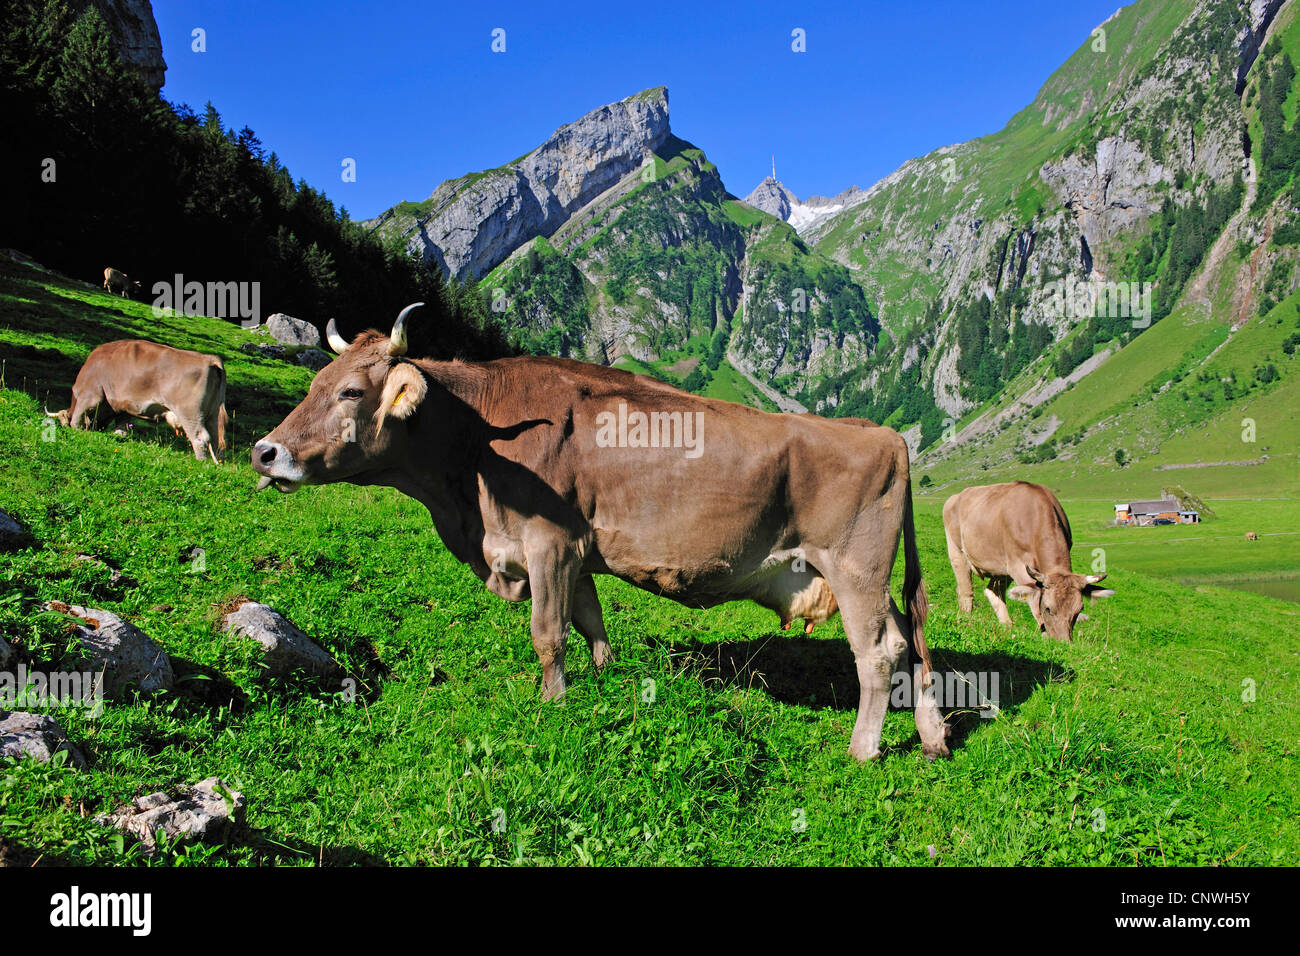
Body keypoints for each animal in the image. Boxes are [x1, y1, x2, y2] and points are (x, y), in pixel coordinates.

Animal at [47, 340, 228, 462]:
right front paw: (119, 435)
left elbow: (77, 418)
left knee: (200, 438)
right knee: (216, 440)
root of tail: (207, 358)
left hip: (189, 413)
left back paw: (200, 461)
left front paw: (76, 429)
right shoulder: (123, 406)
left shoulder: (90, 395)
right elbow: (122, 425)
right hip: (211, 415)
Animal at [251, 304, 951, 762]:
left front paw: (552, 704)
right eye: (314, 384)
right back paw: (933, 735)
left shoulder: (548, 543)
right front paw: (606, 681)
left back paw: (864, 749)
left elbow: (548, 633)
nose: (264, 452)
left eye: (349, 392)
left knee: (878, 651)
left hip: (855, 568)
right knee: (909, 640)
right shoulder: (577, 553)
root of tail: (881, 433)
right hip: (865, 576)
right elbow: (591, 624)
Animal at [942, 480, 1115, 641]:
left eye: (1079, 610)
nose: (1063, 643)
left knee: (993, 591)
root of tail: (955, 497)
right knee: (965, 591)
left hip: (1001, 568)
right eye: (1048, 608)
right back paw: (966, 619)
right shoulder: (1018, 566)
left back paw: (1007, 626)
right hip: (956, 551)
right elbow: (1034, 601)